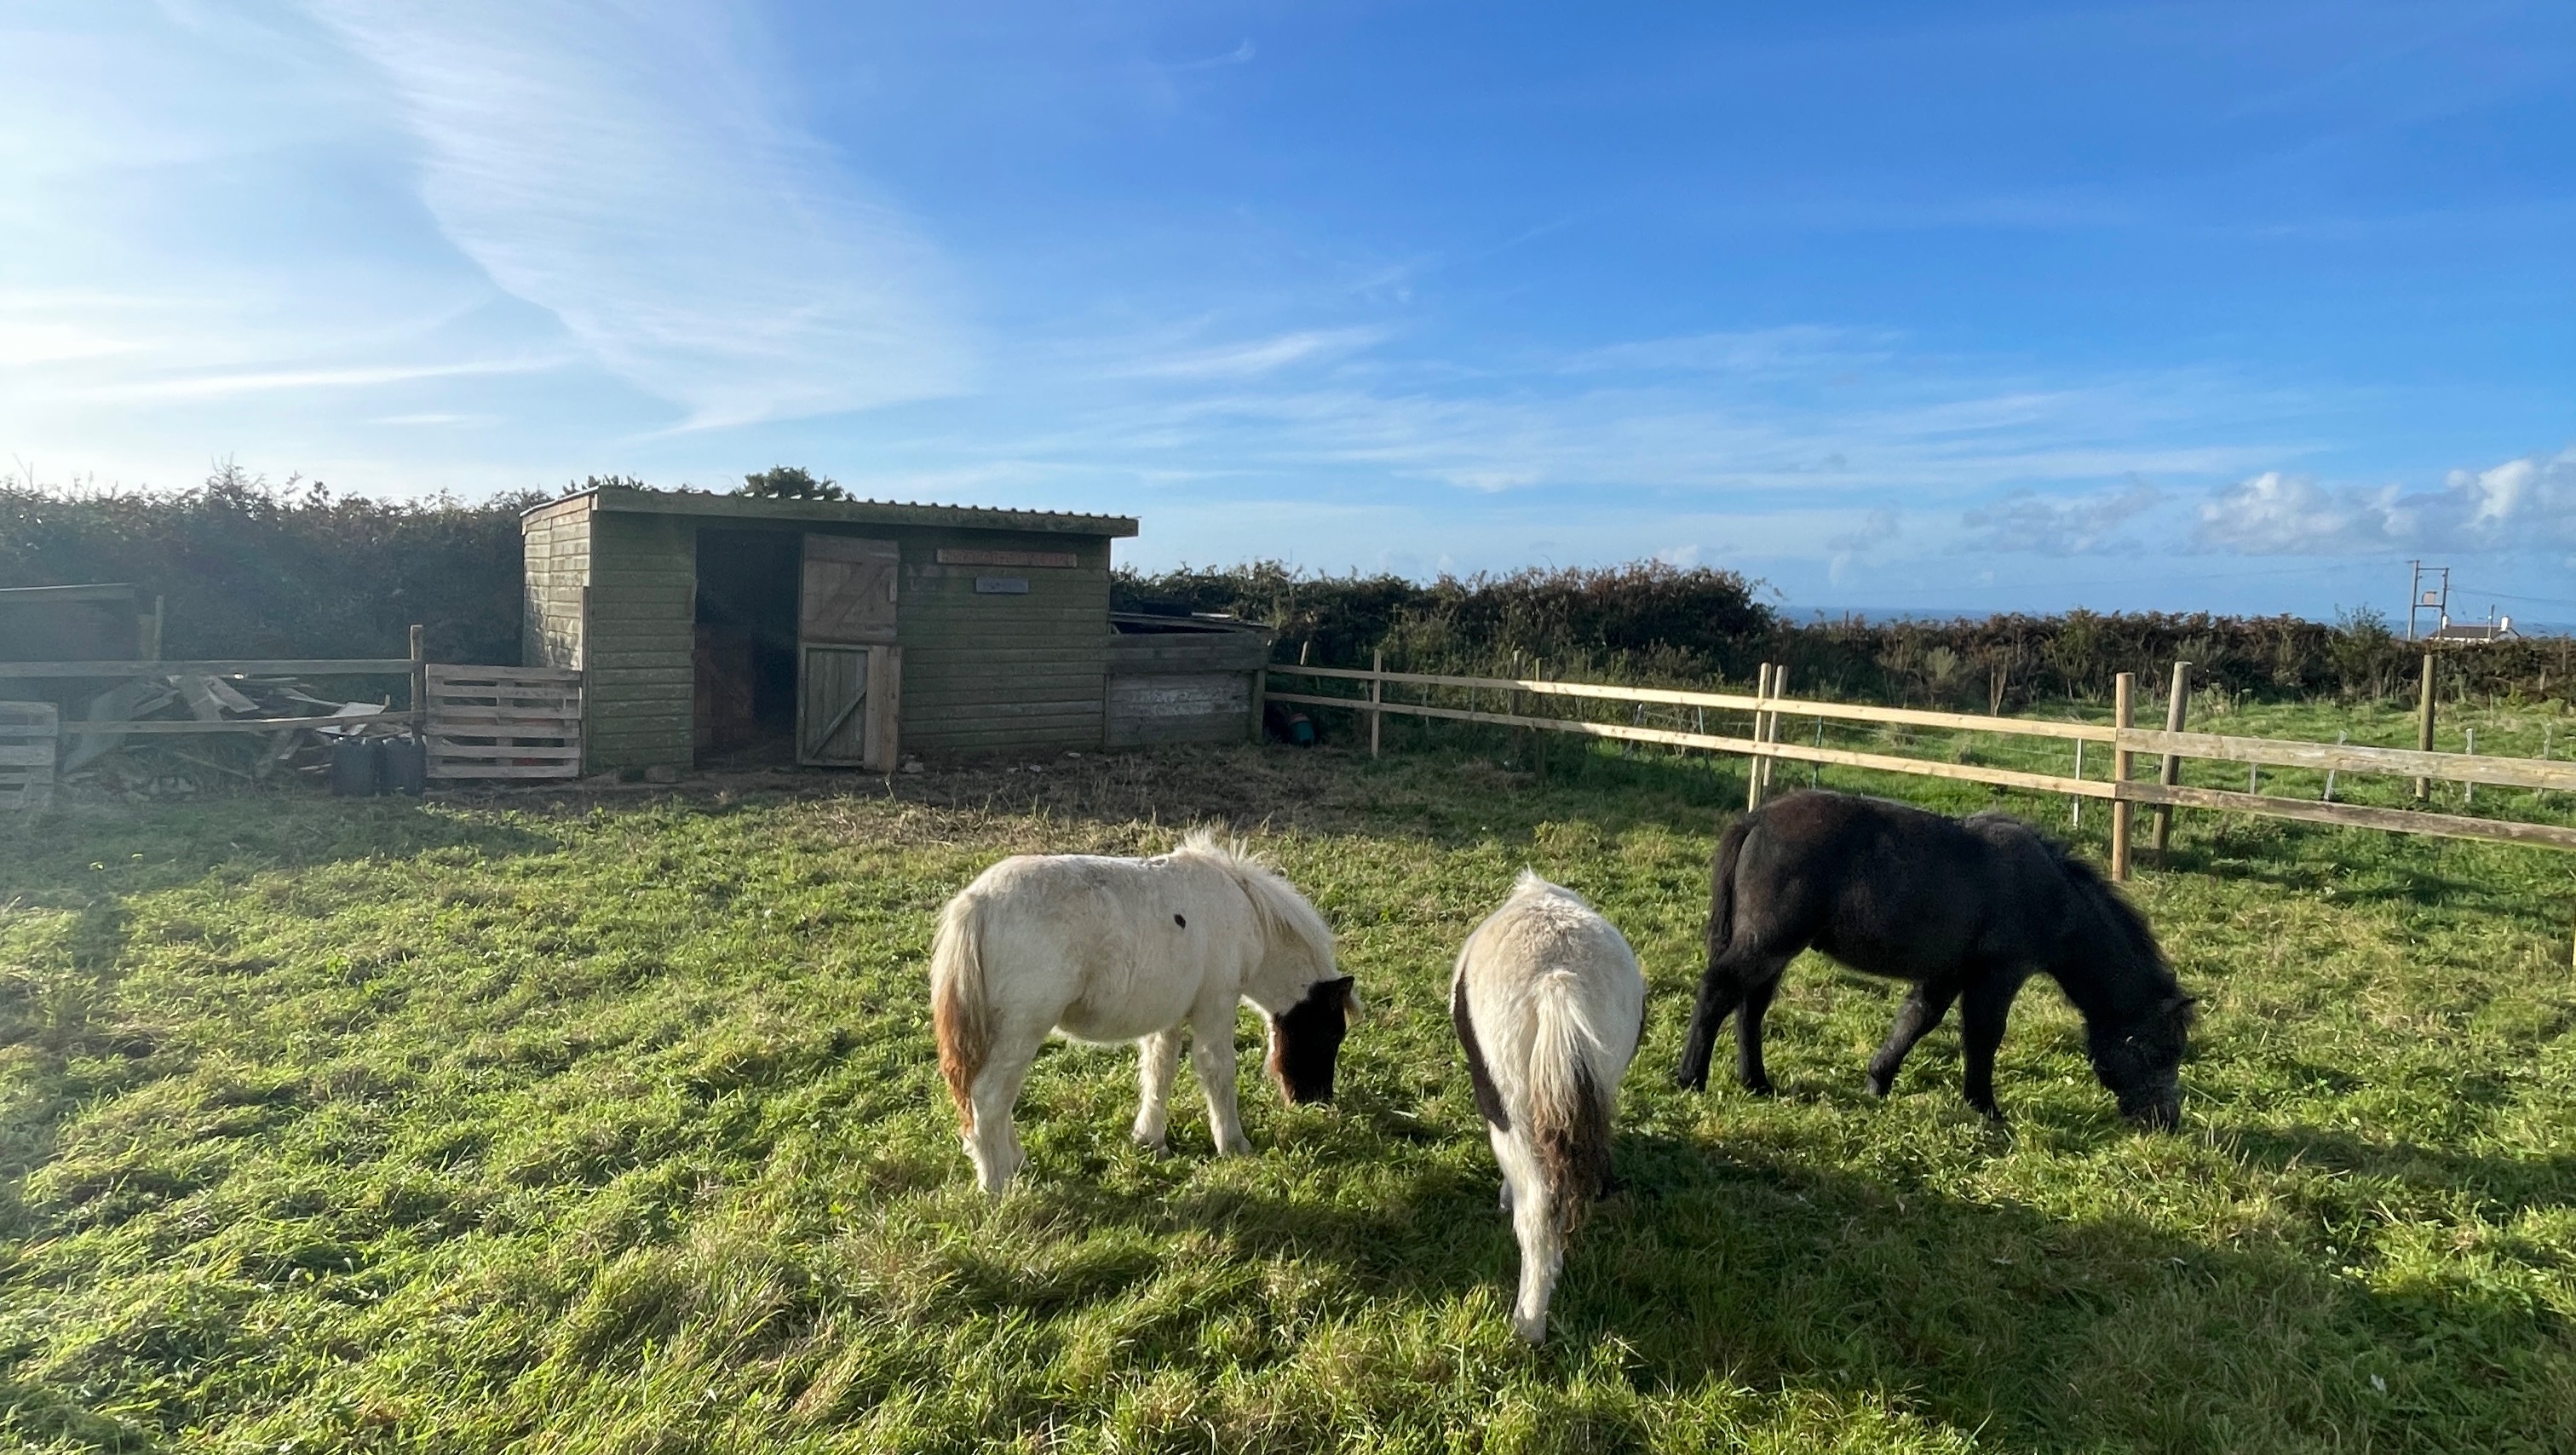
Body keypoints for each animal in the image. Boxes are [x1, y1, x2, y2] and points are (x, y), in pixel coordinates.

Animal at [928, 829, 1355, 1196]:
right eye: (1330, 1033)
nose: (1316, 1100)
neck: (1240, 909)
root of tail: (977, 903)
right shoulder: (1216, 1005)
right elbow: (1218, 1071)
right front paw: (1234, 1145)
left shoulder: (1169, 1016)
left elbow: (1159, 1070)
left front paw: (1151, 1139)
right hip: (1022, 1030)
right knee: (989, 1098)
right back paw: (996, 1184)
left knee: (994, 1101)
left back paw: (1016, 1164)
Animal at [1674, 790, 2194, 1128]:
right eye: (2159, 1051)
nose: (2166, 1121)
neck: (2053, 894)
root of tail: (1756, 819)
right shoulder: (1997, 975)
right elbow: (1983, 1037)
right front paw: (1985, 1107)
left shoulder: (1948, 973)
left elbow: (1916, 1020)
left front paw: (1878, 1082)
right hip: (1769, 942)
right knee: (1719, 991)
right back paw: (1690, 1079)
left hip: (1774, 949)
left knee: (1751, 1007)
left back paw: (1757, 1083)